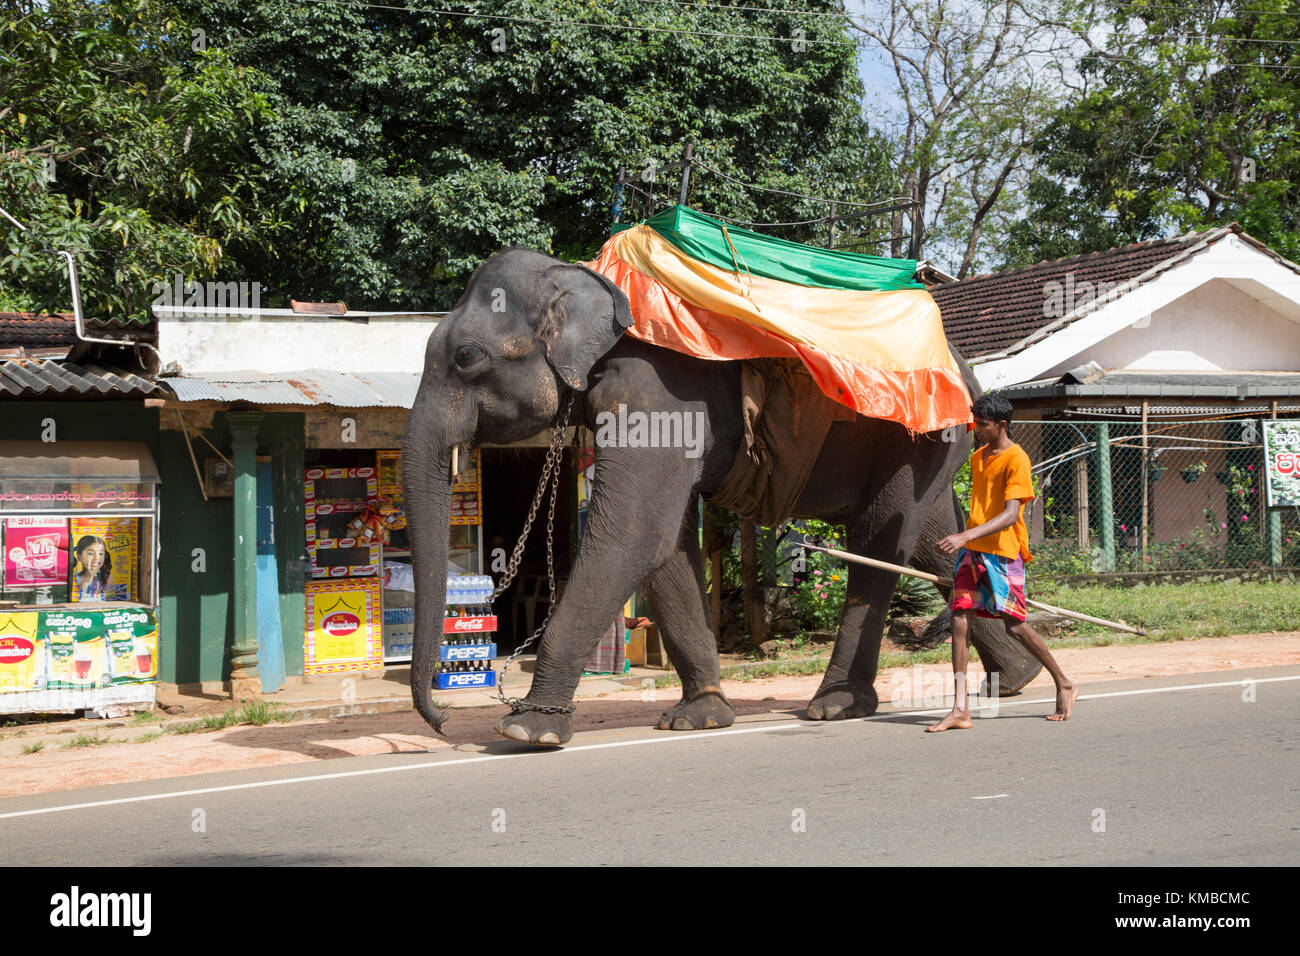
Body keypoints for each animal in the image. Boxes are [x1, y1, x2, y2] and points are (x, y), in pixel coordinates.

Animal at [402, 248, 1042, 746]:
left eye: (466, 357)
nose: (440, 724)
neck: (589, 276)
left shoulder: (658, 391)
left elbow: (635, 533)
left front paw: (527, 730)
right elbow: (665, 542)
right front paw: (699, 717)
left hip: (917, 435)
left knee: (880, 541)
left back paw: (837, 705)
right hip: (936, 447)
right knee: (938, 542)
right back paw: (1015, 682)